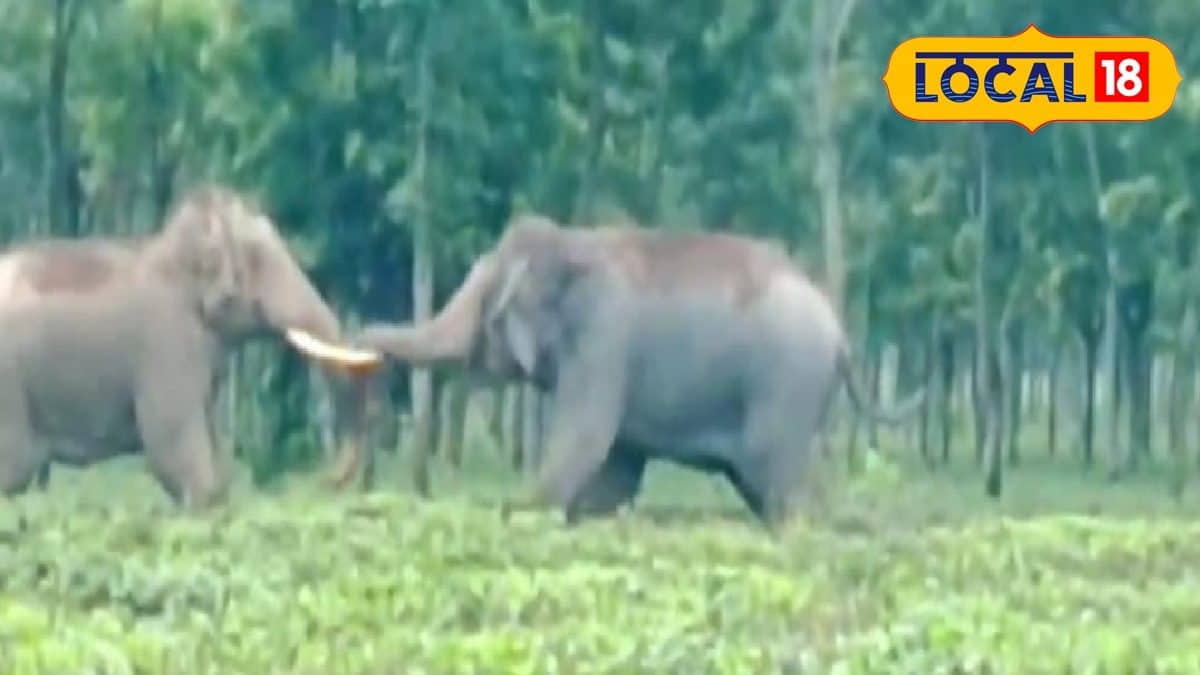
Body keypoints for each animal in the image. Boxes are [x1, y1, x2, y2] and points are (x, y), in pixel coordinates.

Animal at [354, 214, 923, 528]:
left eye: (484, 305)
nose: (360, 345)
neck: (573, 242)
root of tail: (841, 333)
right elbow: (617, 469)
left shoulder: (605, 339)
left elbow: (585, 439)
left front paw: (516, 512)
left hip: (785, 385)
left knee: (778, 480)